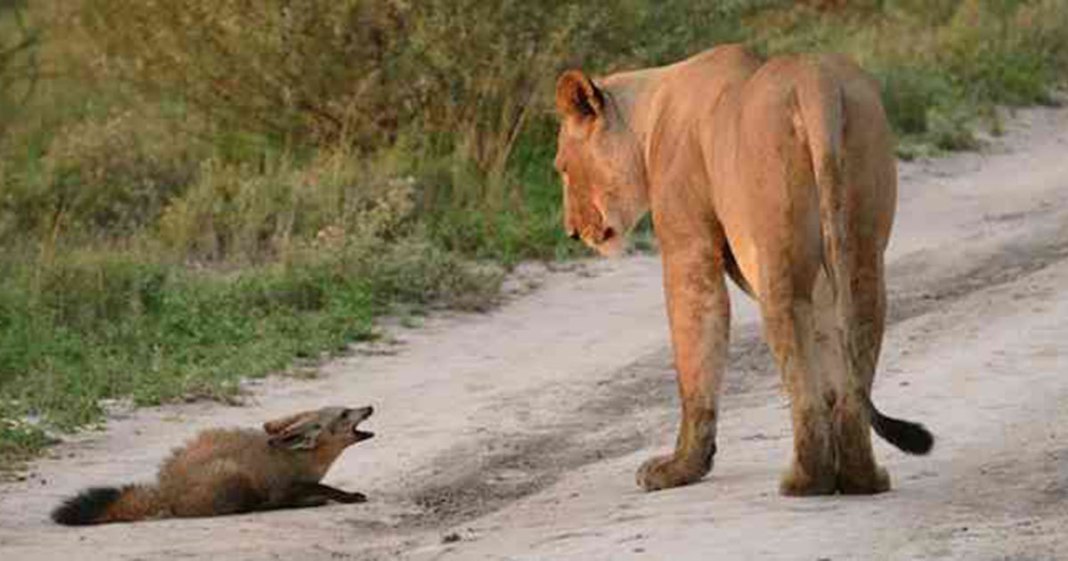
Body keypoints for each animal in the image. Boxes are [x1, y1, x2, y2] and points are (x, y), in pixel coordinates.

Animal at [51, 405, 375, 525]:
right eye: (345, 413)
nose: (369, 407)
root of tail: (165, 490)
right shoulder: (285, 486)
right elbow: (324, 488)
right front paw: (348, 496)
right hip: (232, 475)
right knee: (247, 507)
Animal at [554, 44, 933, 495]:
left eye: (562, 166)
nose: (572, 231)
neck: (649, 114)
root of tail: (816, 81)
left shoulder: (689, 247)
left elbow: (696, 353)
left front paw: (680, 468)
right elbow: (830, 360)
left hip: (776, 251)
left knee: (794, 350)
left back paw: (806, 479)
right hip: (860, 240)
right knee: (858, 329)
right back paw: (861, 476)